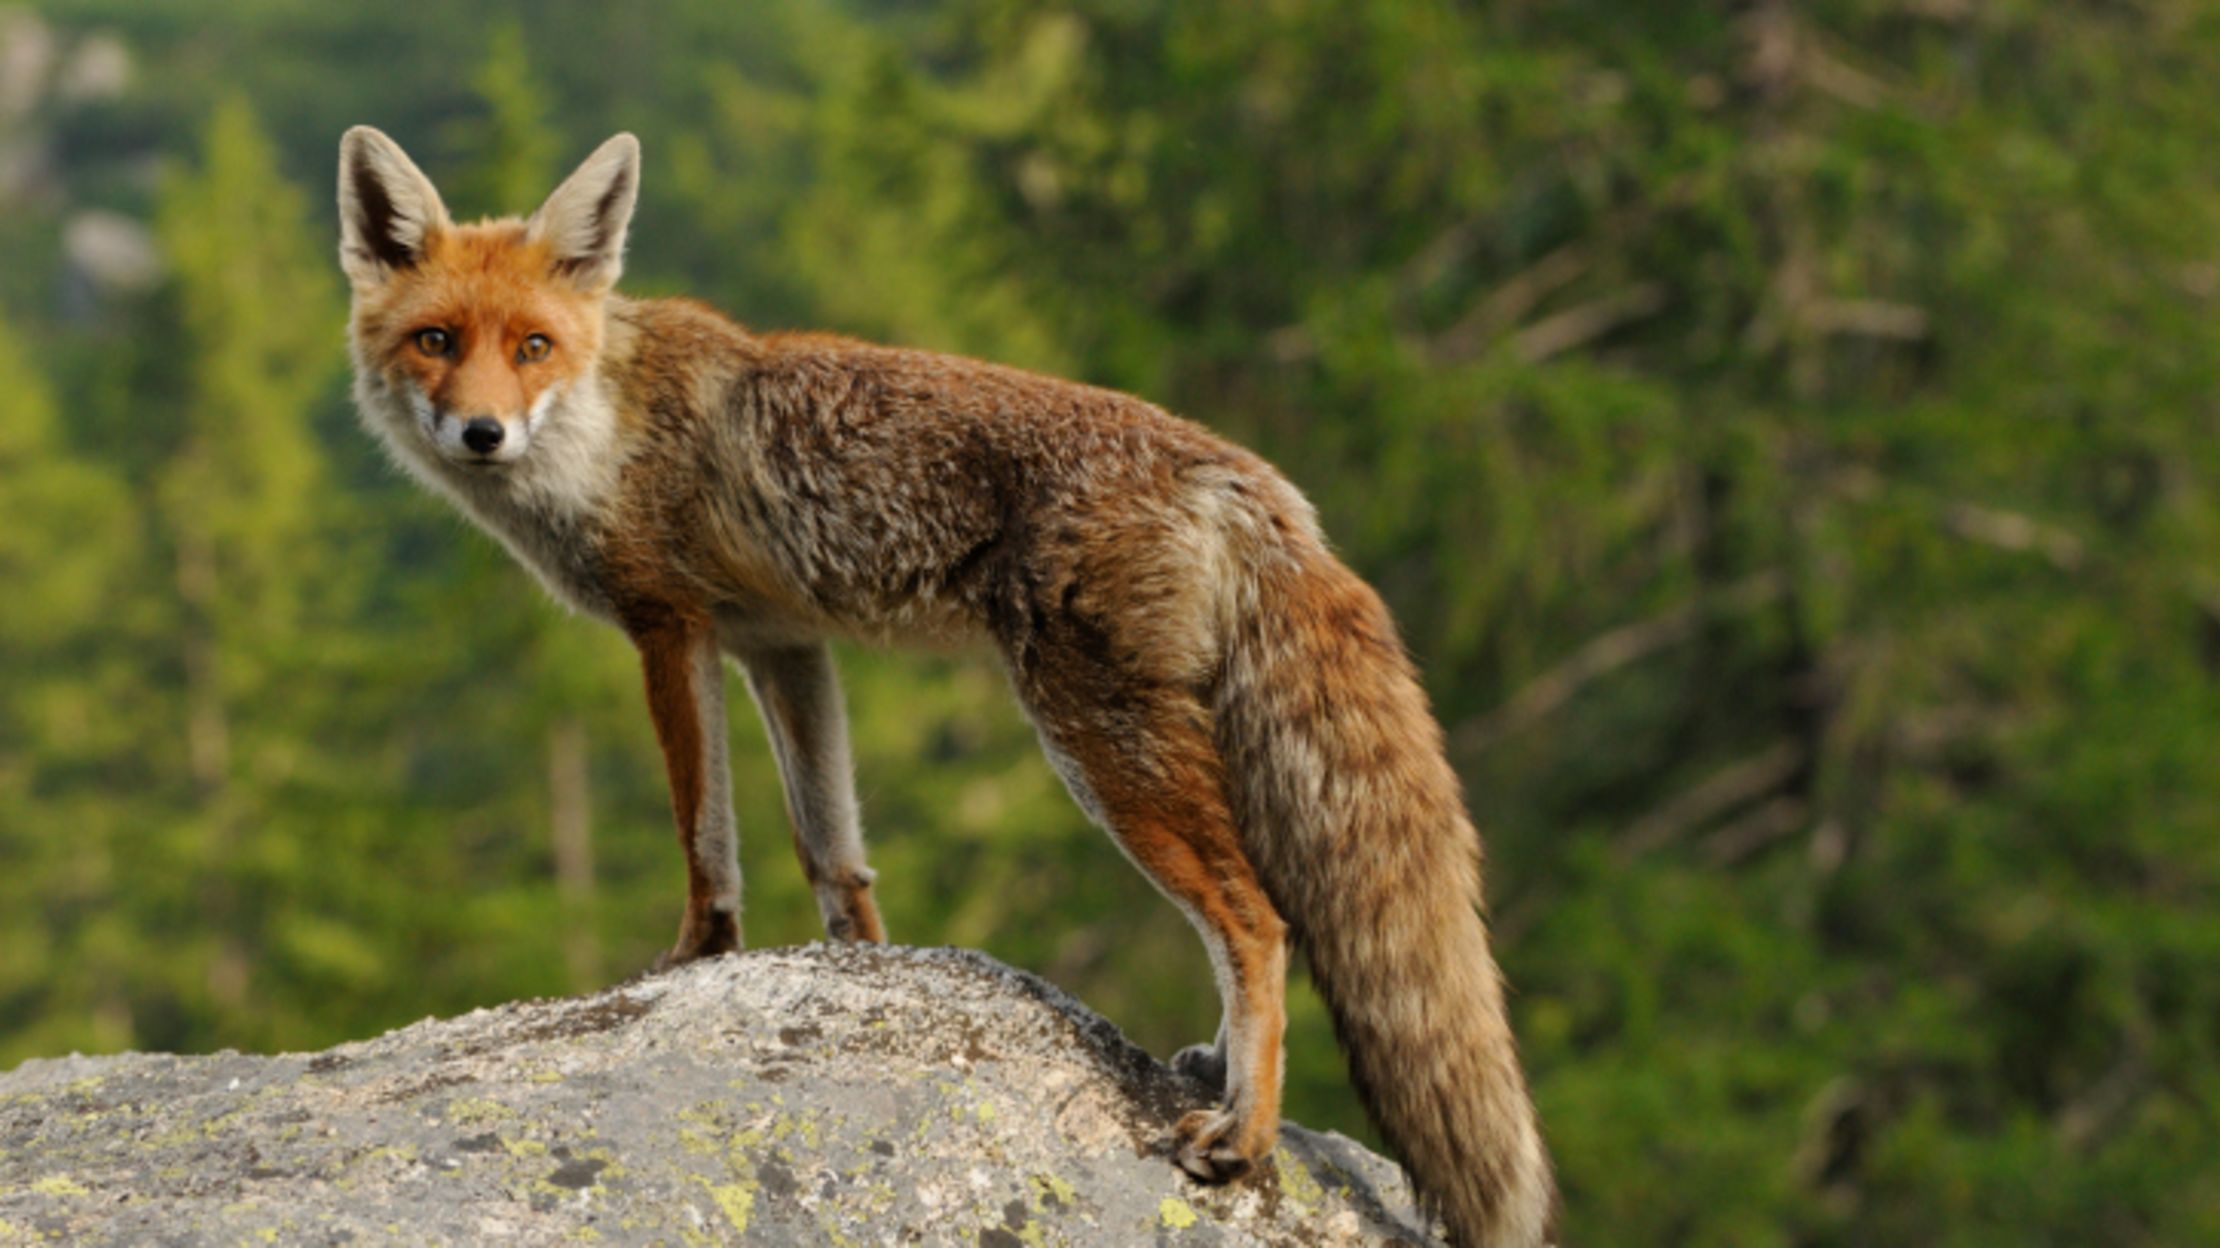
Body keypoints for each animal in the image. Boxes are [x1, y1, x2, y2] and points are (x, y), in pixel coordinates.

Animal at [336, 126, 1553, 1247]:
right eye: (437, 342)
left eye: (532, 346)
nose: (481, 432)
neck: (604, 429)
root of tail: (1247, 479)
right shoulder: (784, 646)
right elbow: (833, 855)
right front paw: (862, 976)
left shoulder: (669, 629)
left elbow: (704, 839)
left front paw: (694, 961)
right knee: (1252, 918)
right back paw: (1219, 1074)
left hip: (1096, 741)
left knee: (1256, 920)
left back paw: (1242, 1138)